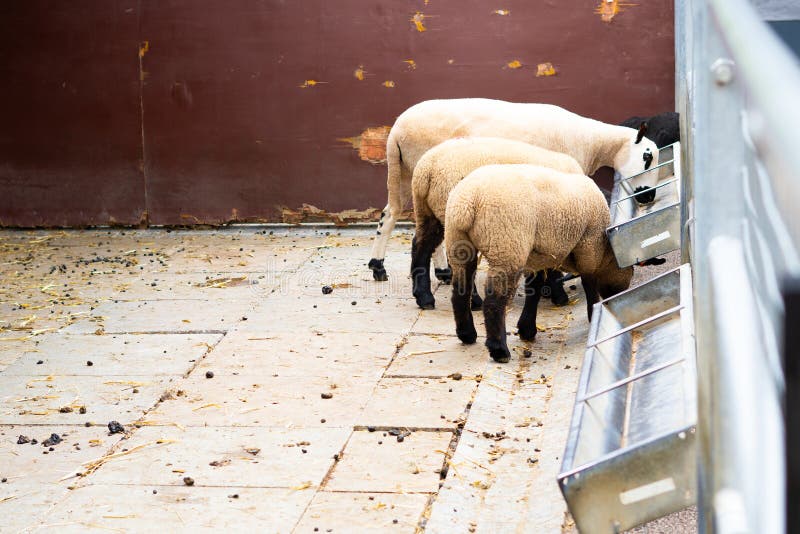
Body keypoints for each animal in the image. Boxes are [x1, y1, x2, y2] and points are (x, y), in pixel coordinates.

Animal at [368, 98, 659, 282]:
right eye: (646, 157)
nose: (649, 196)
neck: (593, 143)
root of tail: (396, 129)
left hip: (406, 171)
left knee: (390, 214)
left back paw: (383, 267)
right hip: (421, 170)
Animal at [410, 137, 583, 310]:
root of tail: (427, 169)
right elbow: (551, 265)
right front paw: (559, 296)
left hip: (427, 209)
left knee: (421, 246)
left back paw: (424, 297)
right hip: (451, 212)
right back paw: (475, 302)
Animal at [444, 164, 634, 363]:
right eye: (630, 270)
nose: (618, 295)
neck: (605, 252)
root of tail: (467, 202)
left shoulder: (540, 256)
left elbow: (534, 289)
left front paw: (527, 329)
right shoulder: (588, 248)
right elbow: (589, 283)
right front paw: (593, 314)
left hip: (458, 243)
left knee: (460, 291)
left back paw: (467, 334)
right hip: (507, 247)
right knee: (494, 301)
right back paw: (499, 350)